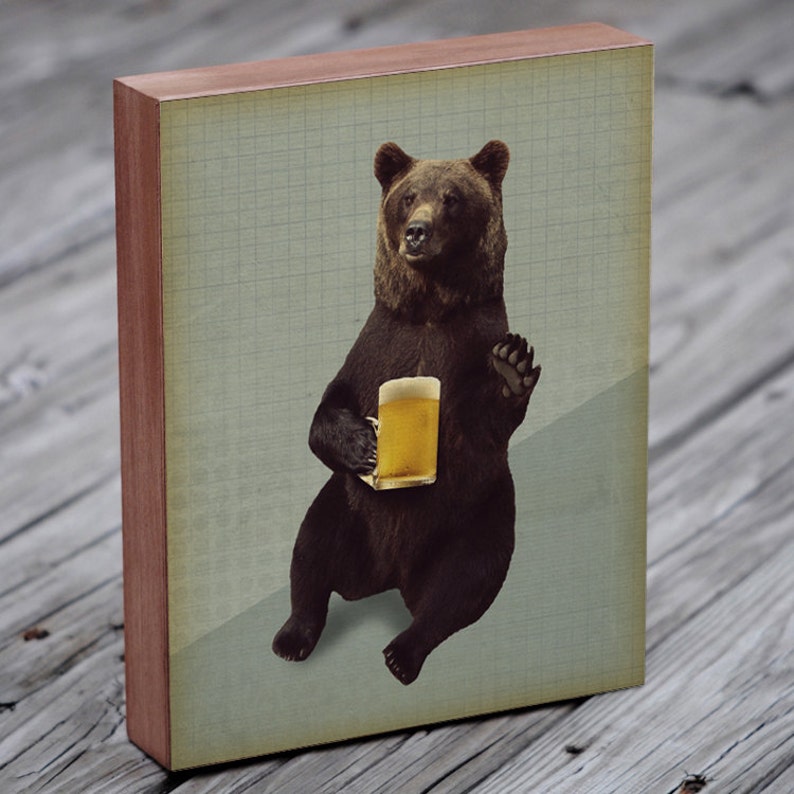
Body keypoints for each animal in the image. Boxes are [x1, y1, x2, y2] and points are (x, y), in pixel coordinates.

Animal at [272, 140, 540, 685]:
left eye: (453, 198)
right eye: (409, 195)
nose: (418, 231)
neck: (431, 308)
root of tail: (389, 576)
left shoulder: (467, 346)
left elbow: (486, 424)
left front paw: (511, 366)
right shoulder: (377, 348)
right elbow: (328, 408)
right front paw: (364, 443)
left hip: (479, 516)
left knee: (464, 583)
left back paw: (403, 652)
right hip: (345, 509)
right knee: (310, 551)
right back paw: (292, 636)